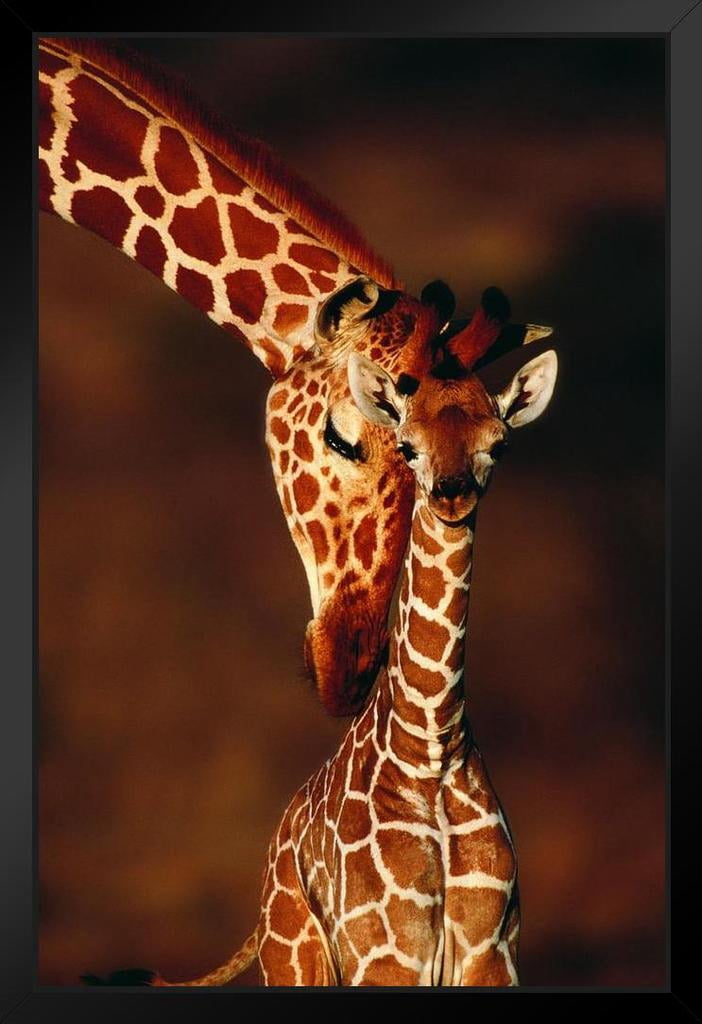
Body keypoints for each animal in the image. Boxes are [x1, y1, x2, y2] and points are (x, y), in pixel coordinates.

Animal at [88, 289, 557, 987]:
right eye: (408, 445)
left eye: (497, 445)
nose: (451, 496)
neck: (432, 746)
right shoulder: (384, 957)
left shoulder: (491, 955)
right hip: (297, 959)